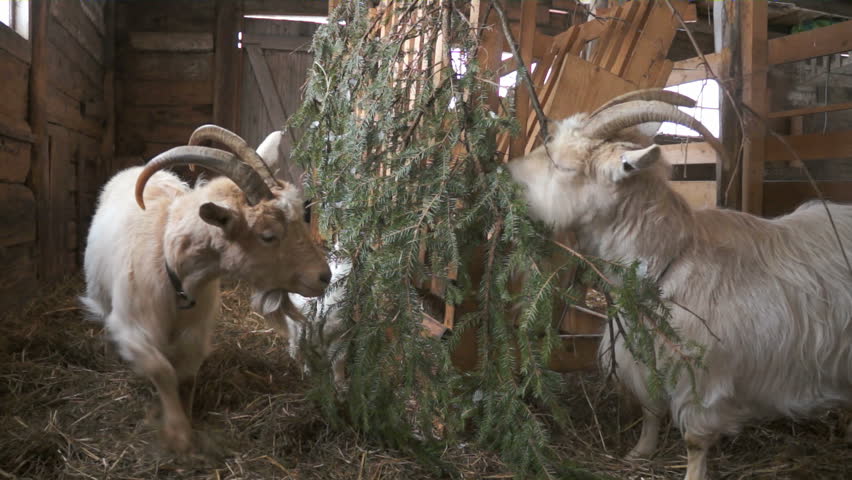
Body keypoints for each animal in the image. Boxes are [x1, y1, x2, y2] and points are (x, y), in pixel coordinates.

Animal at [81, 126, 331, 452]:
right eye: (267, 235)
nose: (323, 276)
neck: (172, 268)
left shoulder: (196, 333)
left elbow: (186, 375)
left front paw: (188, 418)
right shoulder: (132, 327)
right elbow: (162, 370)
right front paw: (178, 434)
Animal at [507, 89, 852, 480]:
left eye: (563, 166)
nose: (508, 175)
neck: (670, 262)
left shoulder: (703, 373)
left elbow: (695, 441)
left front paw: (691, 473)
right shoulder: (647, 360)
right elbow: (651, 410)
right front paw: (640, 453)